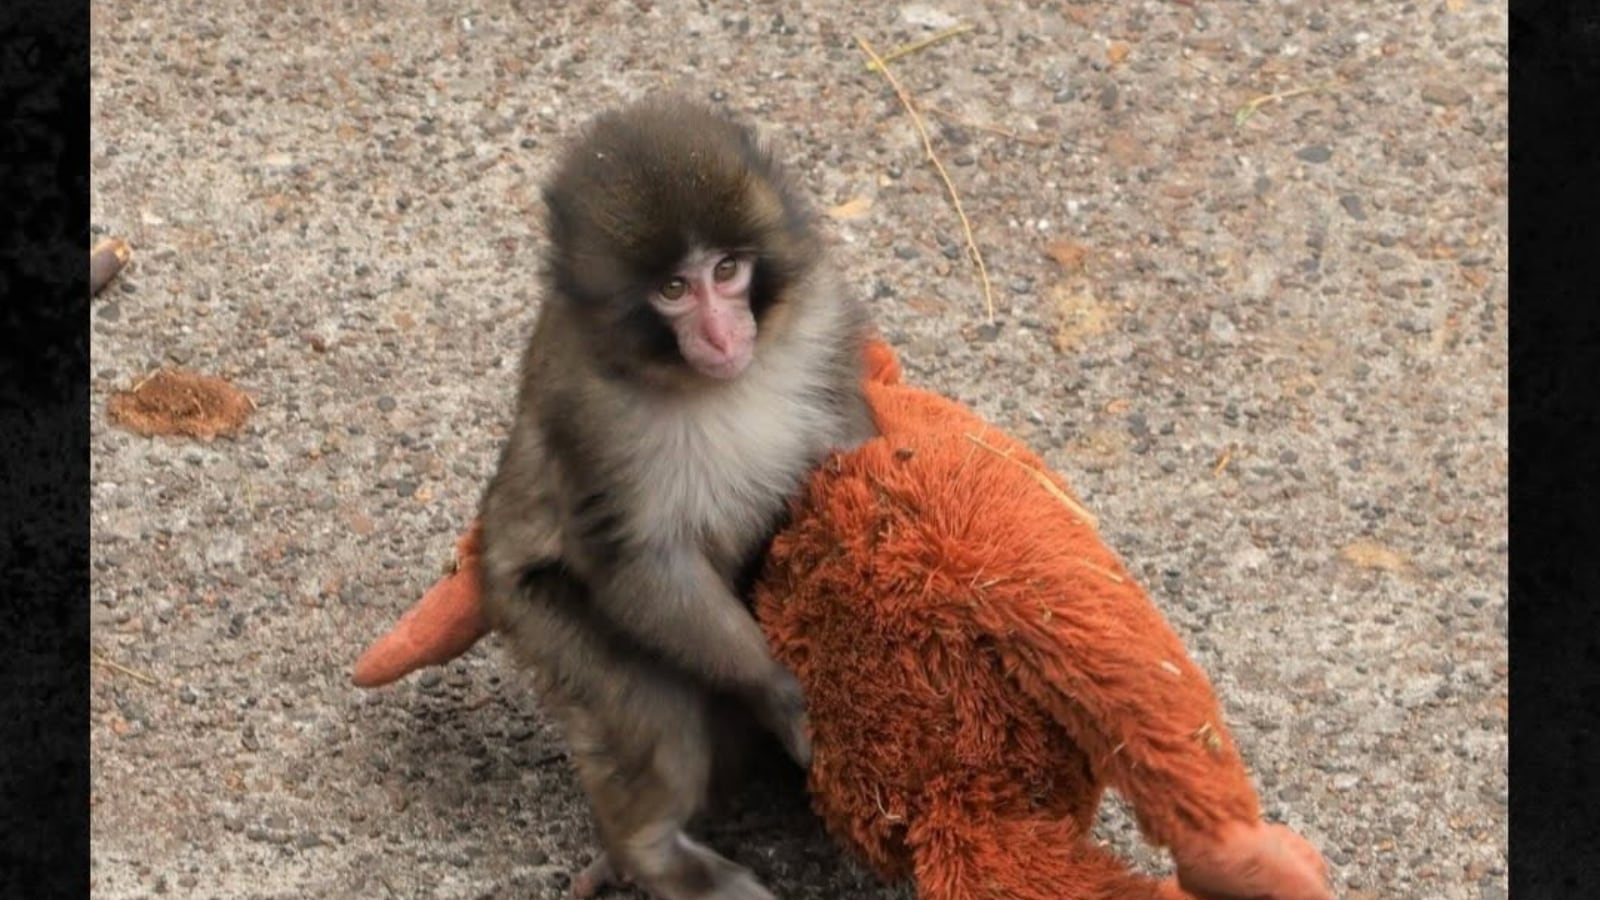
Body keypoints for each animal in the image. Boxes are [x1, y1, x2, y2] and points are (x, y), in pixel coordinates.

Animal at [476, 96, 877, 900]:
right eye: (673, 290)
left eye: (726, 270)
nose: (723, 335)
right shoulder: (589, 412)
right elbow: (641, 563)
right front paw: (781, 690)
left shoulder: (819, 321)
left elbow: (849, 445)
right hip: (536, 614)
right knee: (656, 713)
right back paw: (651, 852)